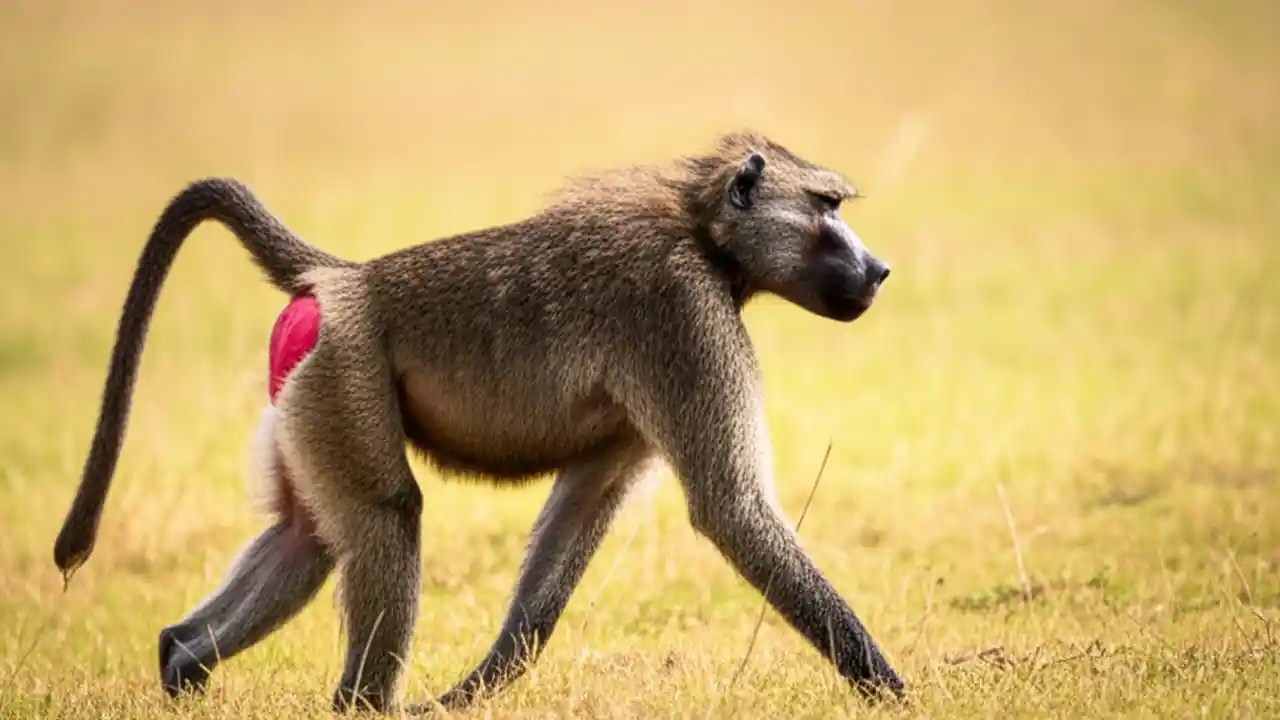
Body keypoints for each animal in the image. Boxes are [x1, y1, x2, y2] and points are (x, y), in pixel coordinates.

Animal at [52, 130, 903, 713]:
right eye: (827, 206)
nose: (880, 269)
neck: (704, 234)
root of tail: (344, 279)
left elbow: (578, 514)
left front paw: (474, 689)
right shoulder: (683, 318)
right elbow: (732, 510)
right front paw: (893, 689)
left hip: (307, 389)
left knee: (306, 536)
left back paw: (184, 657)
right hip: (344, 372)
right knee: (386, 516)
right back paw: (362, 701)